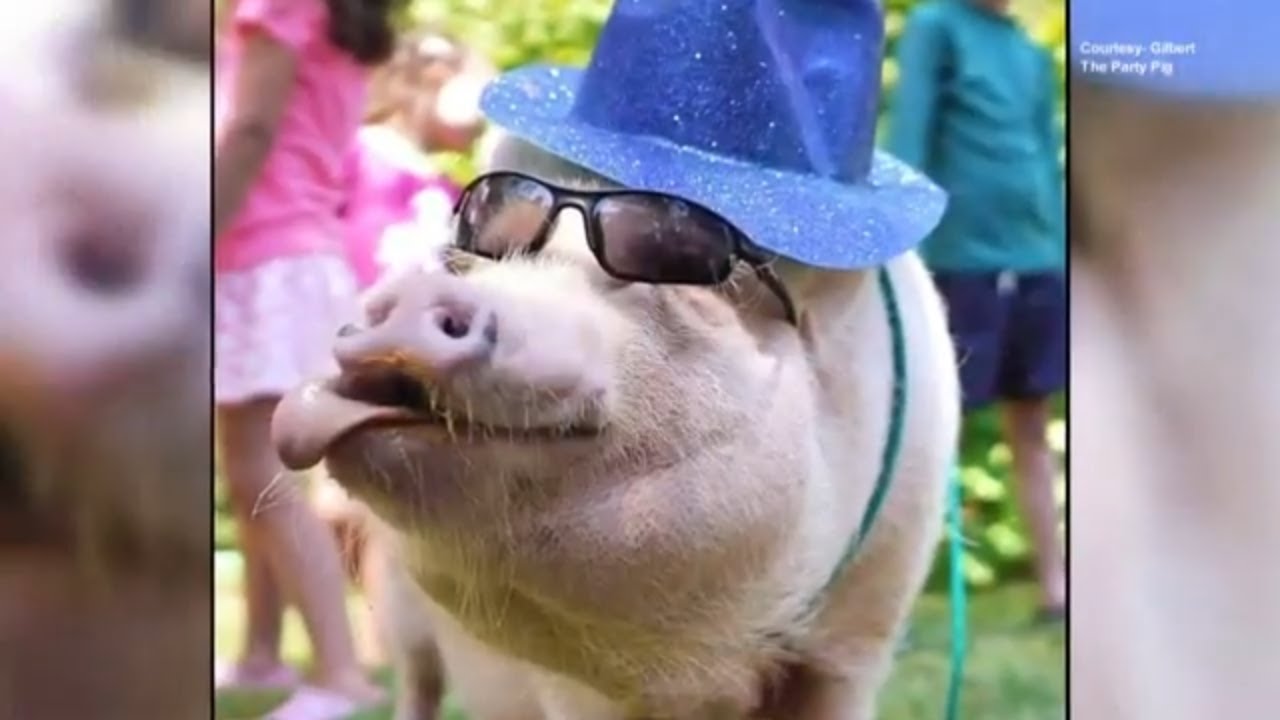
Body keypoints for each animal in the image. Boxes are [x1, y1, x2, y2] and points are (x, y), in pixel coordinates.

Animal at [273, 135, 961, 719]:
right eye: (509, 254)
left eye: (685, 285)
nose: (414, 293)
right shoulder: (566, 686)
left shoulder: (860, 637)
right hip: (399, 609)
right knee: (417, 682)